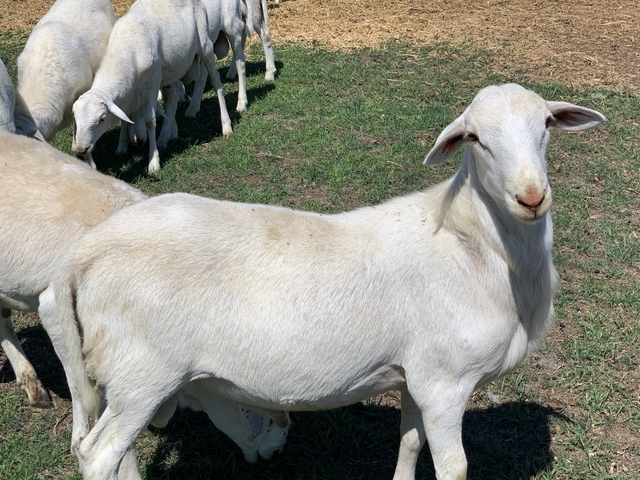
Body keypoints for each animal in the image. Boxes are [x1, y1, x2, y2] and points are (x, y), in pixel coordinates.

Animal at [39, 84, 605, 480]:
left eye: (546, 125)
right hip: (143, 373)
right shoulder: (446, 382)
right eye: (476, 140)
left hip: (131, 380)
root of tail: (87, 252)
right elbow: (454, 467)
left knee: (113, 454)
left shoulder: (416, 377)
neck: (474, 245)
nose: (531, 197)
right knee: (98, 457)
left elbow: (409, 444)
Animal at [72, 0, 232, 174]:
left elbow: (150, 119)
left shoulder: (154, 79)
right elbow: (125, 115)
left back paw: (226, 126)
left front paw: (154, 162)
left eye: (102, 118)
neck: (127, 50)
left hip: (205, 45)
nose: (81, 149)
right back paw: (167, 135)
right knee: (172, 99)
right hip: (172, 70)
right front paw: (122, 146)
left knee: (216, 82)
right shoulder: (133, 91)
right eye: (76, 118)